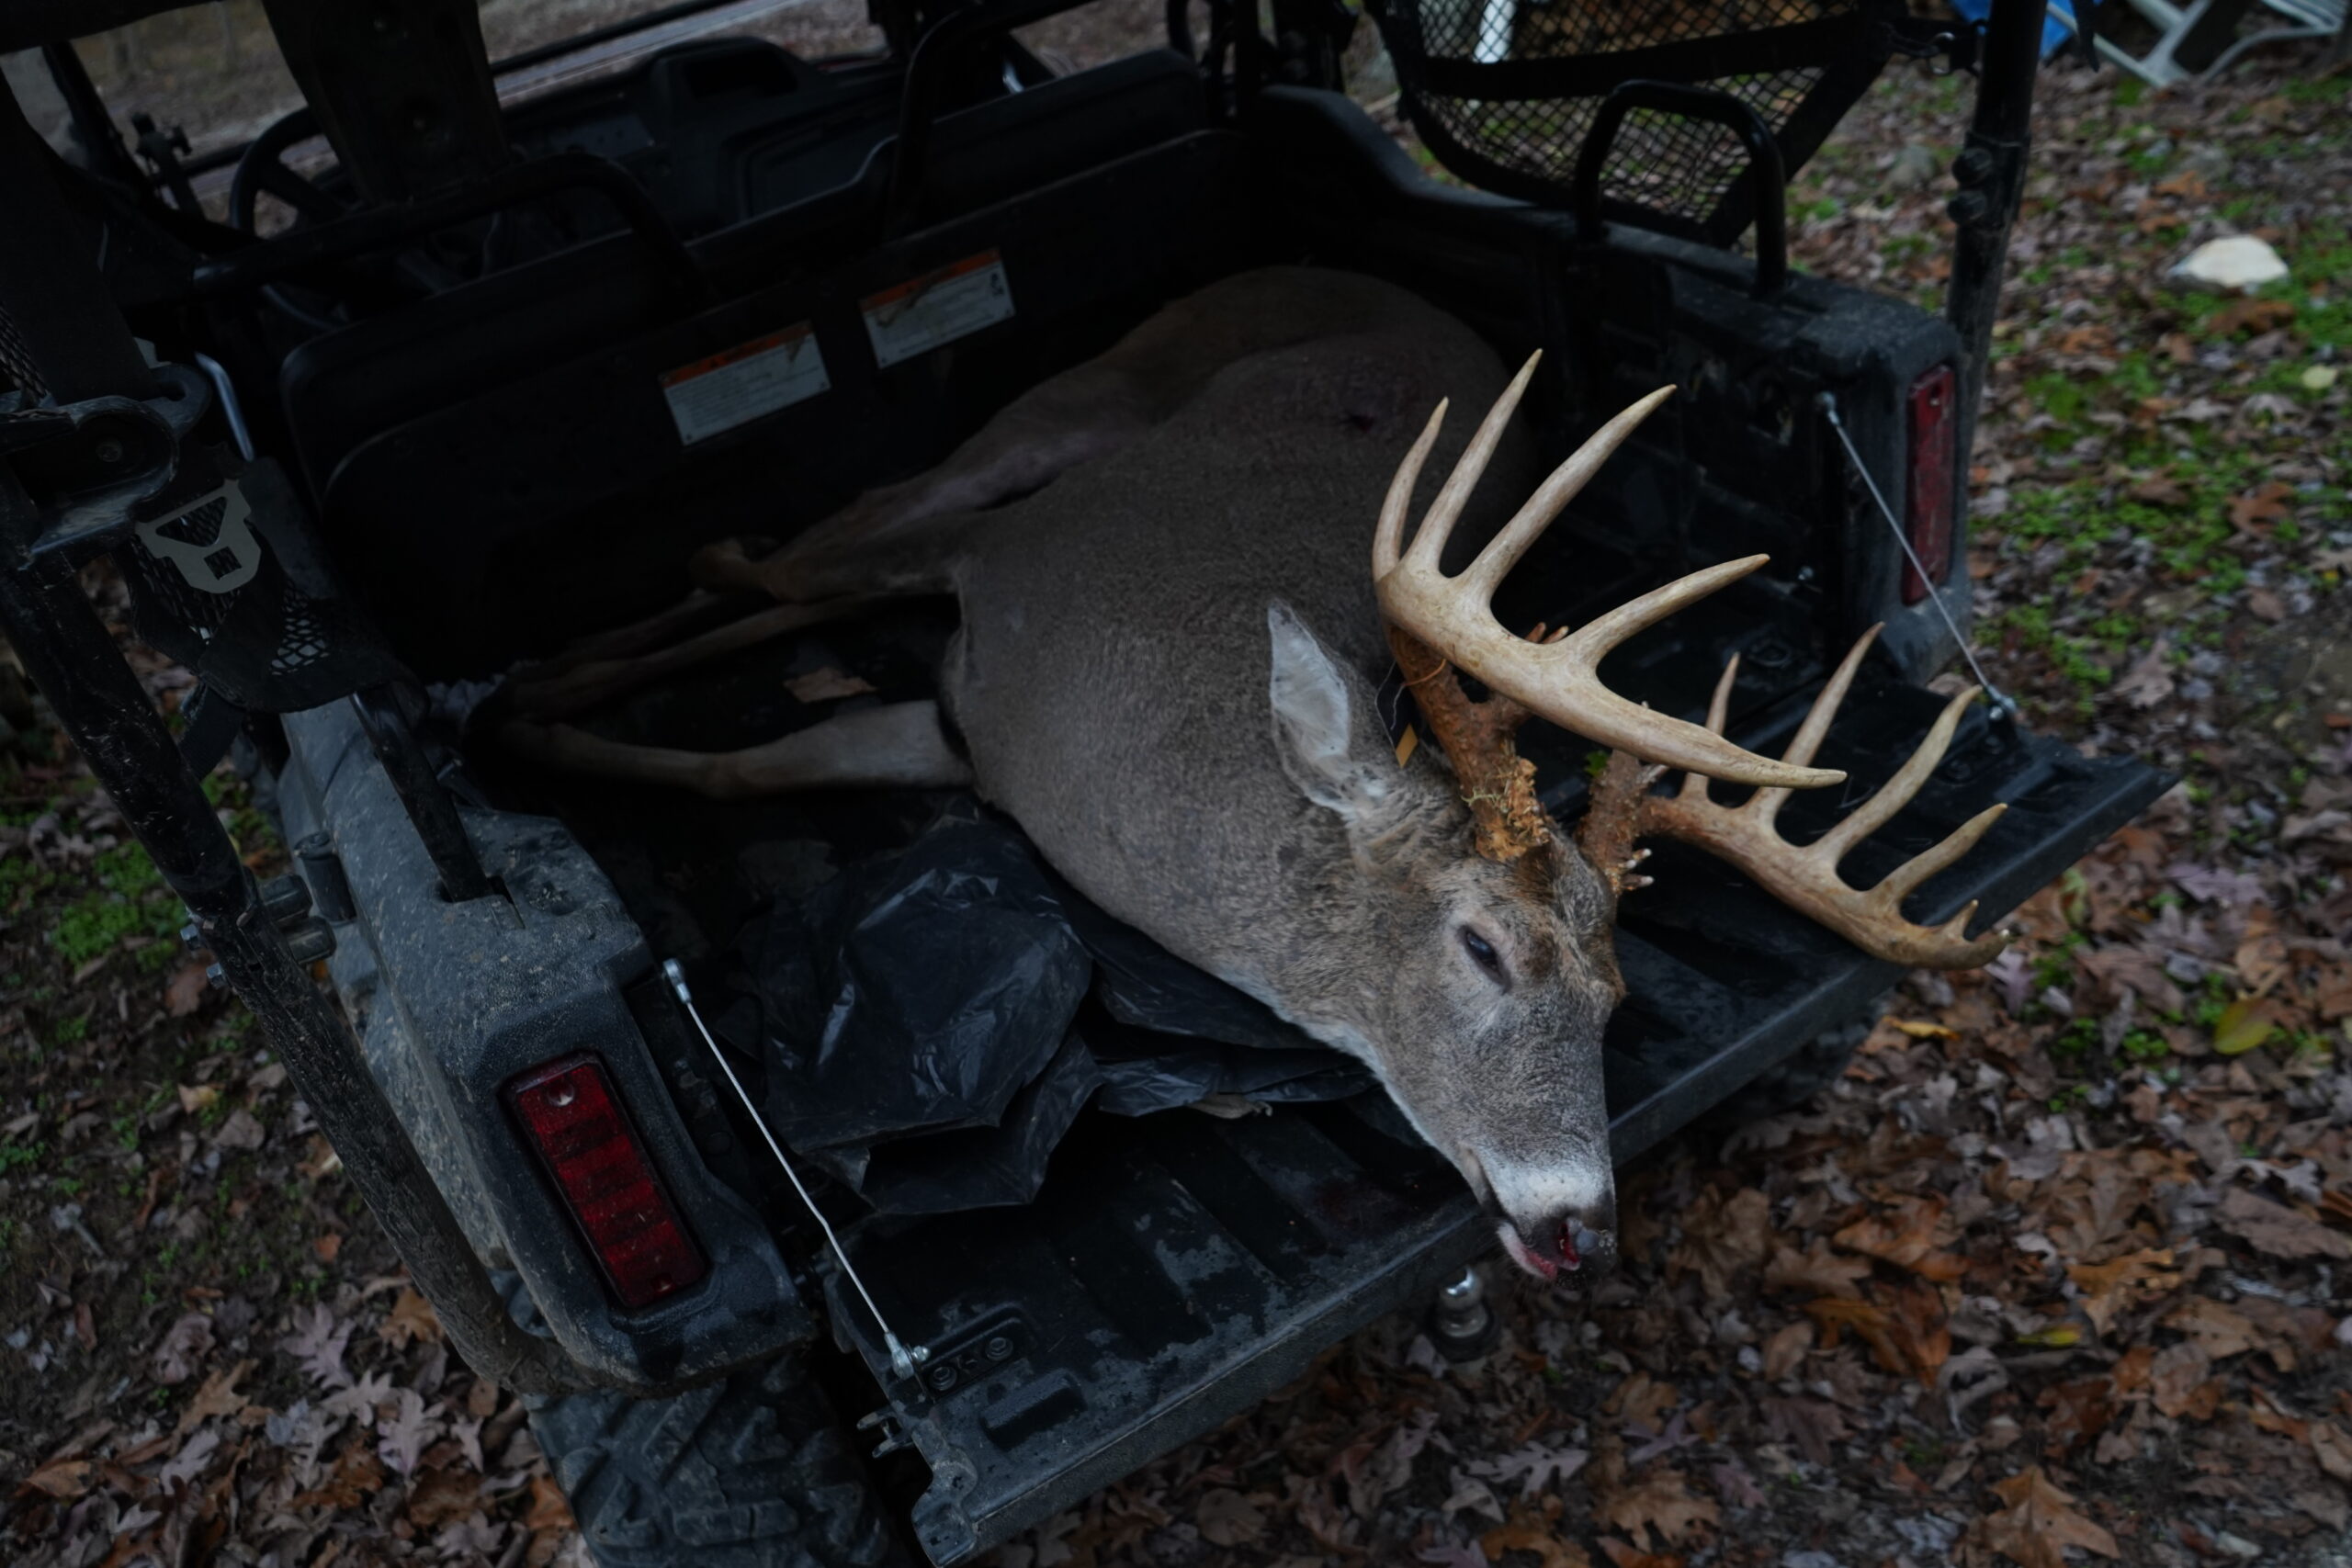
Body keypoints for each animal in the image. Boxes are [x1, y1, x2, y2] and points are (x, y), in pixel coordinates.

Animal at [497, 266, 2011, 1281]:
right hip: (1075, 401)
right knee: (829, 525)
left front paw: (562, 729)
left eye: (1617, 994)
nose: (1580, 1228)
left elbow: (756, 764)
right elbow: (785, 605)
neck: (1101, 746)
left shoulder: (959, 733)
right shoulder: (1000, 562)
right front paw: (539, 715)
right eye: (1483, 943)